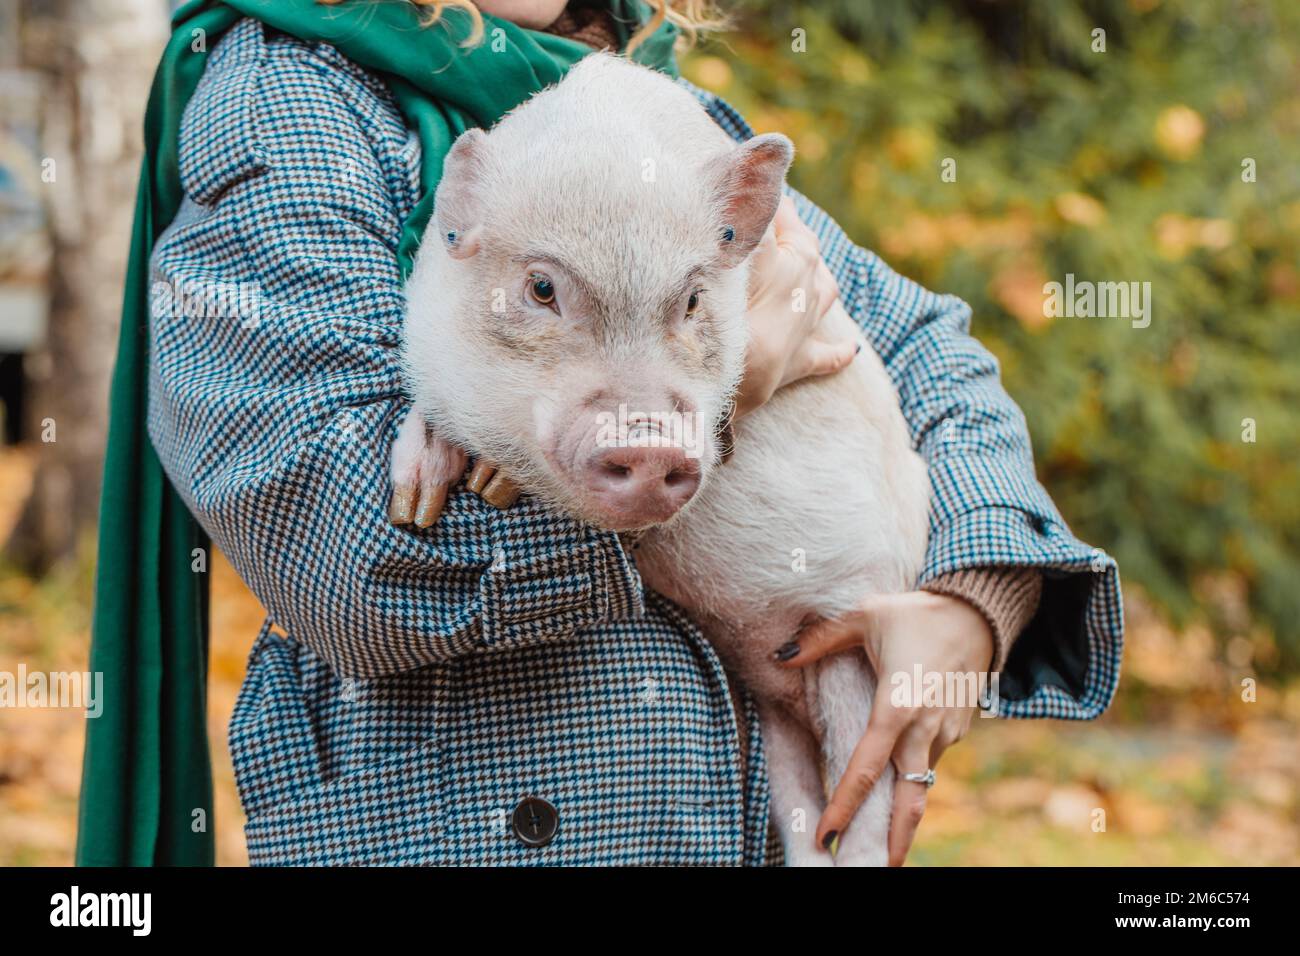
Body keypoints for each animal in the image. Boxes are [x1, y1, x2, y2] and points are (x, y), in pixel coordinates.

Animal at [393, 53, 930, 866]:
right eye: (541, 287)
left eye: (693, 300)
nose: (646, 438)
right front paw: (416, 501)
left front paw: (489, 480)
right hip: (777, 716)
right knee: (804, 812)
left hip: (858, 643)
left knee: (861, 816)